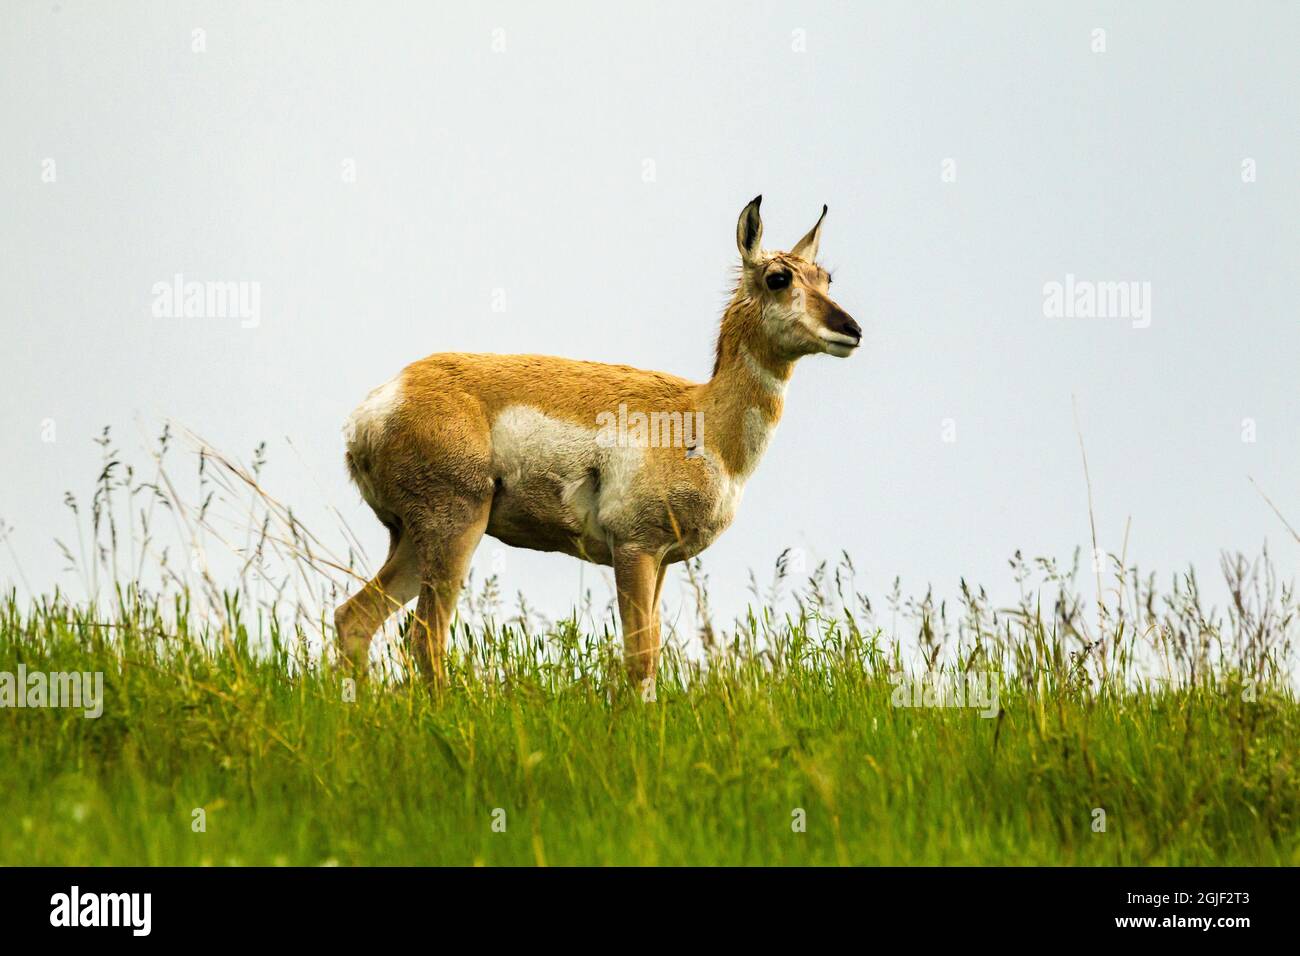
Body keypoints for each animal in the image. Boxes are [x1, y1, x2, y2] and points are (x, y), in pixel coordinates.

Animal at [335, 196, 861, 698]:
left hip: (412, 540)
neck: (702, 416)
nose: (851, 330)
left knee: (354, 619)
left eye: (826, 277)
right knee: (424, 637)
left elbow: (649, 655)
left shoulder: (662, 560)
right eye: (778, 277)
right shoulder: (635, 549)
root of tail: (379, 404)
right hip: (455, 529)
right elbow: (640, 659)